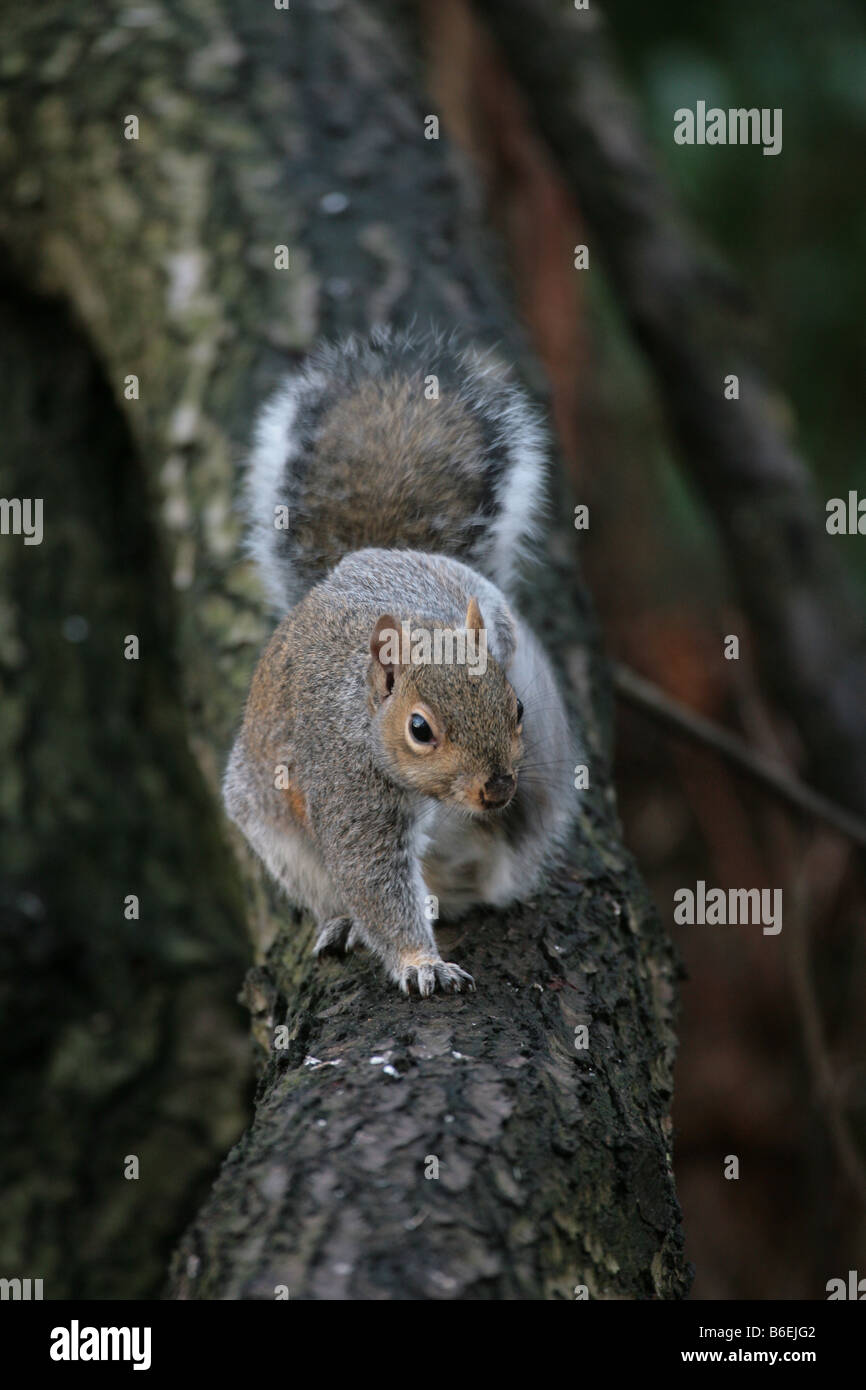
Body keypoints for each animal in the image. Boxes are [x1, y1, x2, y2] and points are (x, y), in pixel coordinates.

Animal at [223, 325, 577, 997]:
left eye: (518, 708)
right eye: (420, 729)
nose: (499, 788)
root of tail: (363, 555)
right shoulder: (348, 787)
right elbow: (374, 880)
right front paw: (421, 963)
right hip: (279, 837)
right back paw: (343, 924)